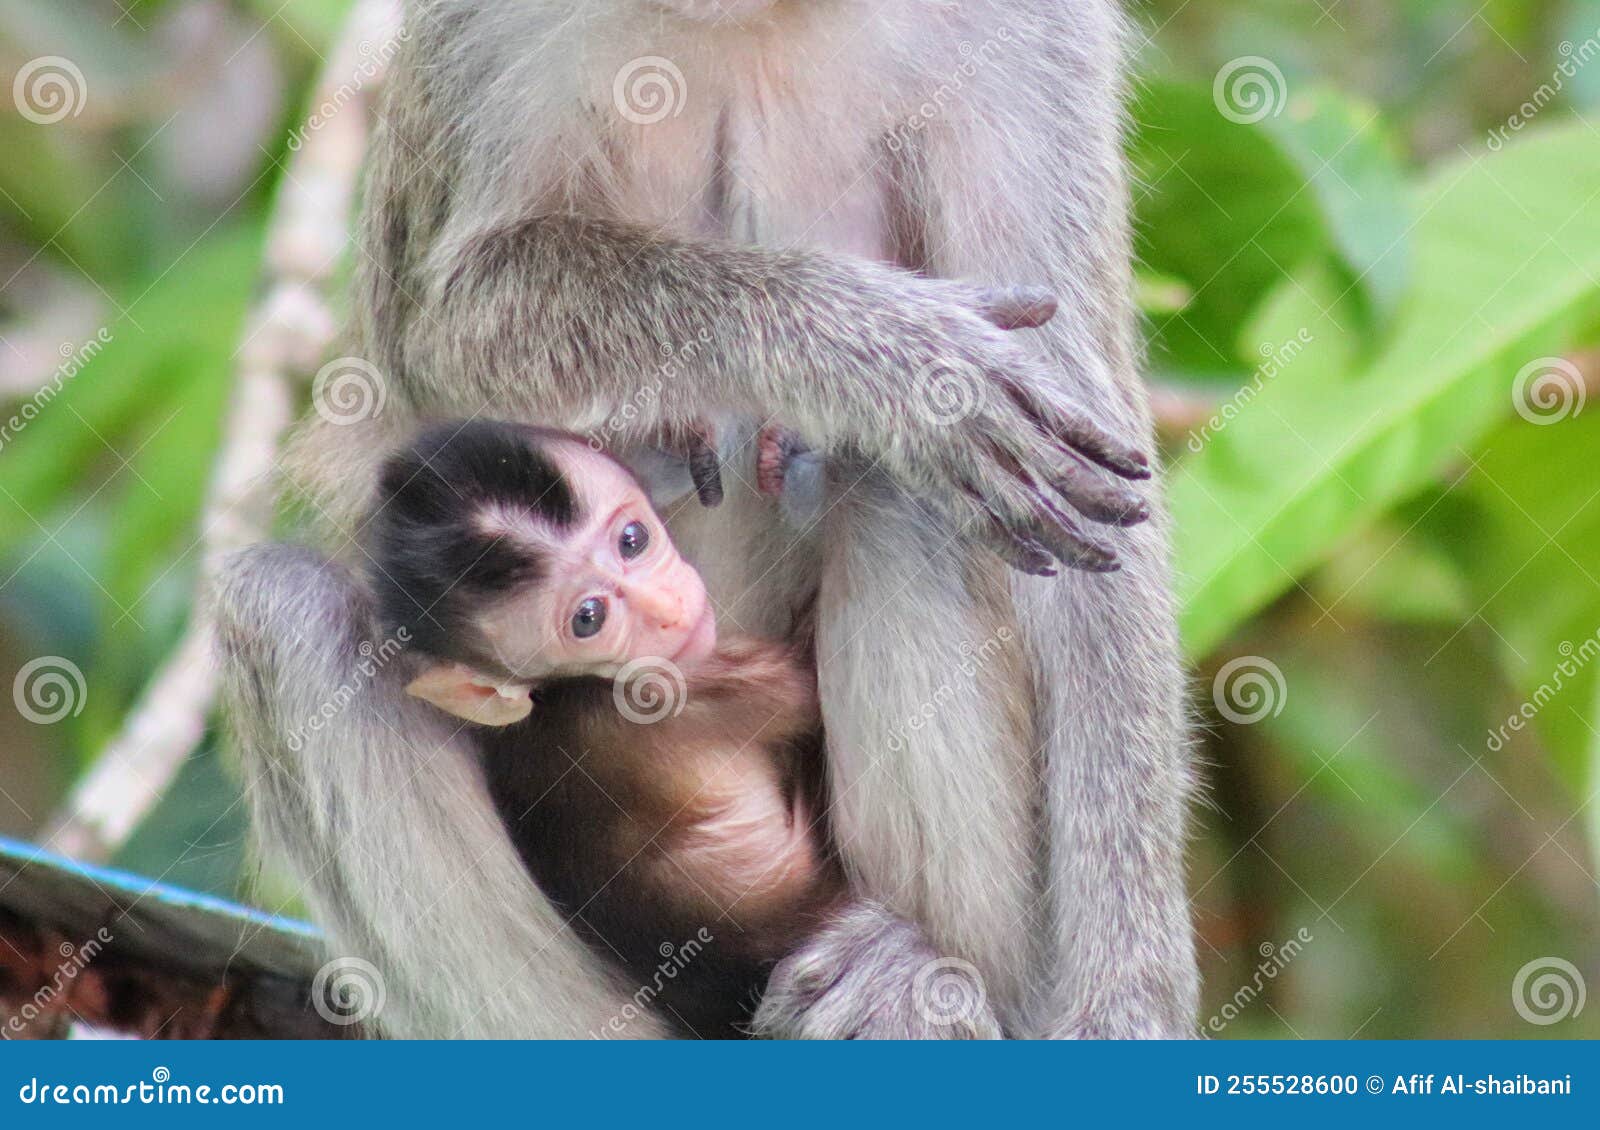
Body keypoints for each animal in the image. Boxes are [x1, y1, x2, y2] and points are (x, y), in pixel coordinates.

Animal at [365, 419, 860, 1037]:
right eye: (588, 618)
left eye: (631, 541)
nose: (666, 610)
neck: (561, 692)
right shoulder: (665, 694)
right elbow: (803, 688)